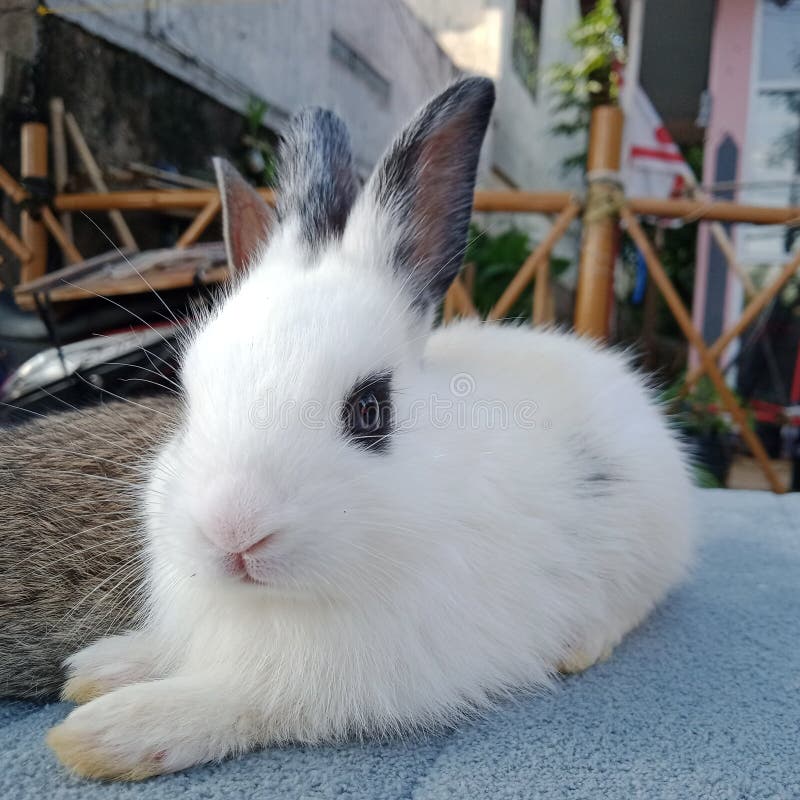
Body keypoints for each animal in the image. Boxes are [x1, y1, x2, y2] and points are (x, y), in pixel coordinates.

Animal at [47, 77, 694, 781]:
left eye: (369, 411)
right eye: (190, 395)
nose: (233, 533)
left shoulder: (345, 677)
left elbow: (238, 697)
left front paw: (109, 733)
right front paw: (99, 667)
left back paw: (580, 645)